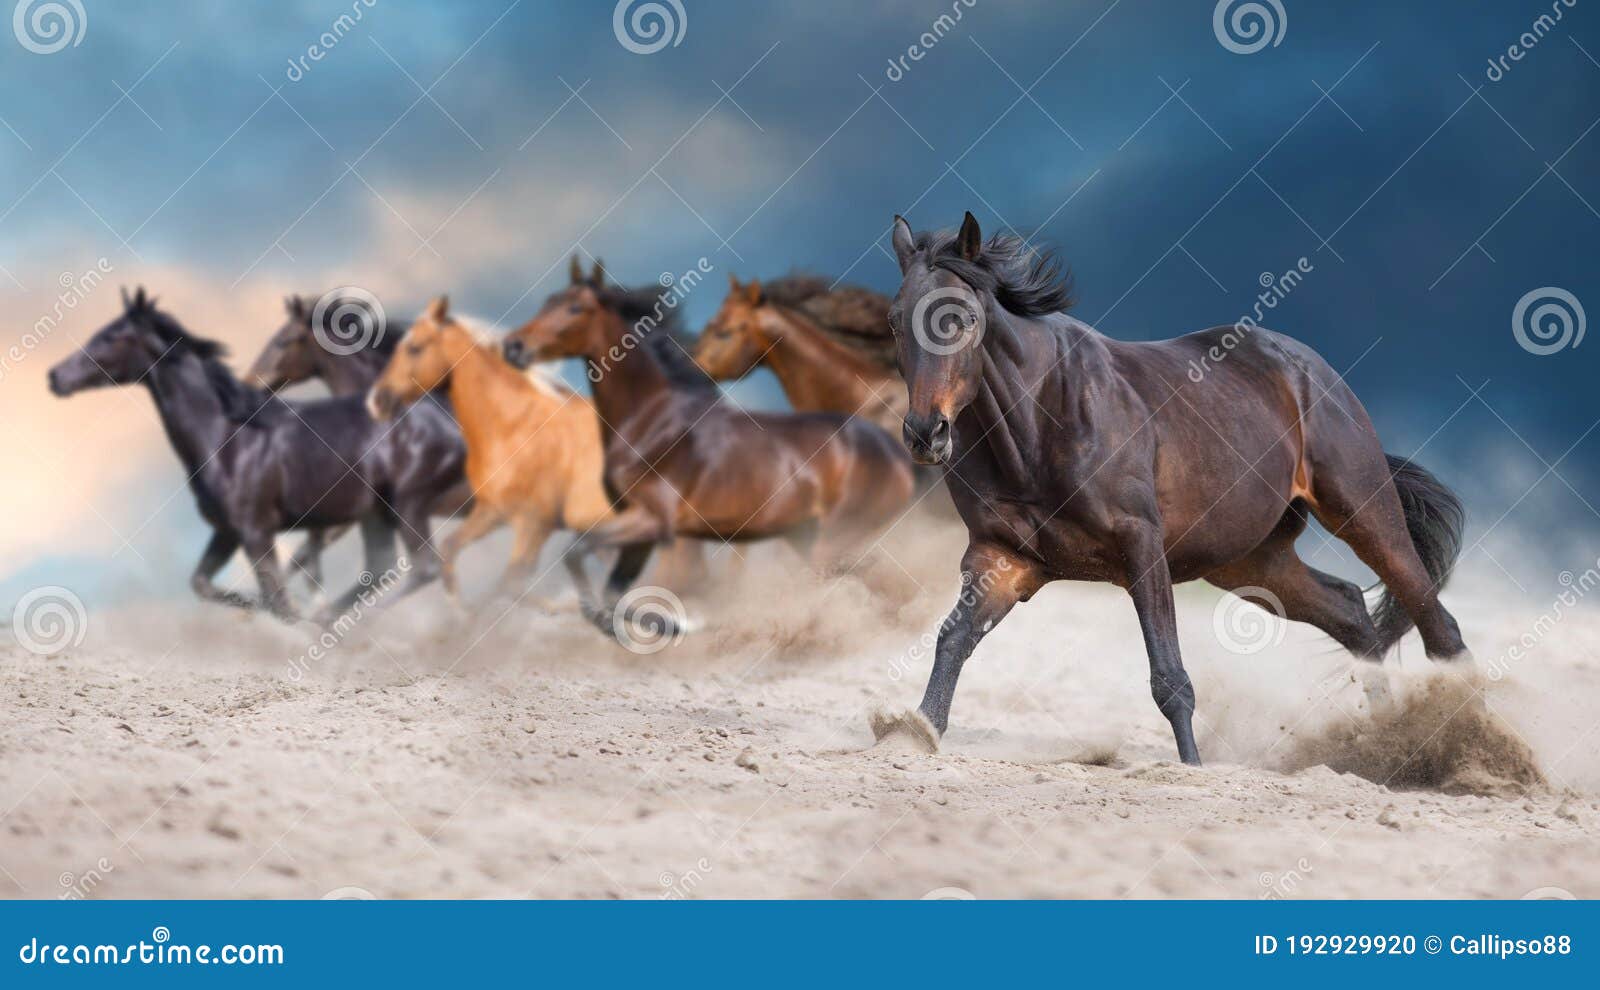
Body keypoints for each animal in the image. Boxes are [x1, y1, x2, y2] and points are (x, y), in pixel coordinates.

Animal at [366, 295, 616, 606]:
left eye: (414, 348)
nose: (376, 401)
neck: (513, 426)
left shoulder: (534, 522)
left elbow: (510, 582)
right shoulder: (493, 512)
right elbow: (451, 550)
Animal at [870, 213, 1468, 765]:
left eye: (964, 318)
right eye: (896, 322)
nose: (925, 434)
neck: (1040, 423)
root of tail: (1312, 371)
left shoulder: (1142, 546)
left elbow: (1169, 676)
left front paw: (1193, 765)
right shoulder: (1002, 557)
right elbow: (953, 640)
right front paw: (913, 733)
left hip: (1361, 510)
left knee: (1436, 623)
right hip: (1249, 558)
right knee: (1351, 612)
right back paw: (1384, 741)